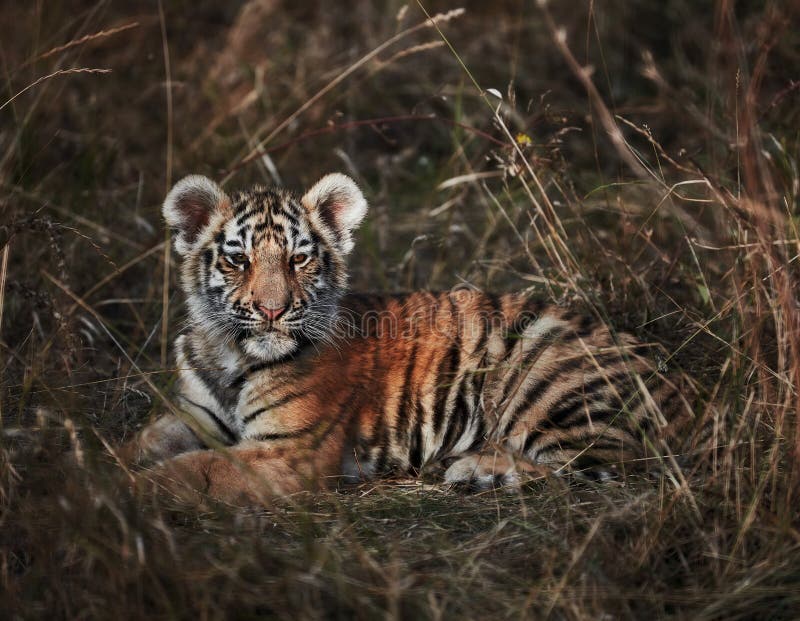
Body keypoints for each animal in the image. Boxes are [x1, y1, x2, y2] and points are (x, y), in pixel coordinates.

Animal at [124, 172, 697, 504]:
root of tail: (682, 383)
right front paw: (106, 466)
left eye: (299, 258)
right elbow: (143, 444)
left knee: (606, 462)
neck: (229, 354)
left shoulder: (287, 452)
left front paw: (114, 498)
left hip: (544, 367)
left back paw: (474, 468)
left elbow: (189, 472)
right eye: (238, 259)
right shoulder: (192, 416)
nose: (272, 309)